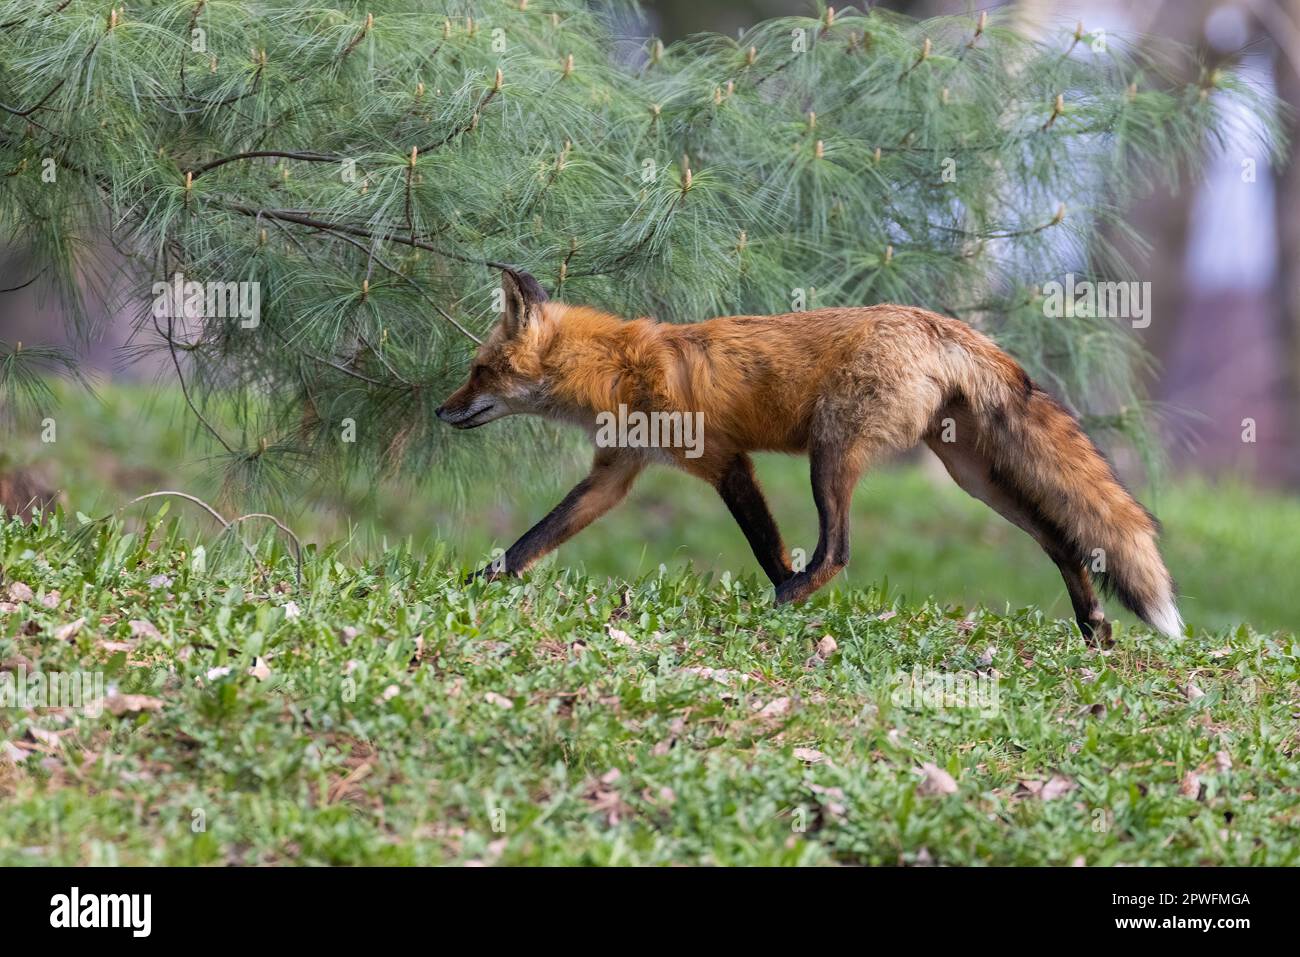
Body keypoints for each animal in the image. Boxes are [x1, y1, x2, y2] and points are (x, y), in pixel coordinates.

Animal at [436, 267, 1184, 641]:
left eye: (477, 371)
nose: (440, 411)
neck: (617, 368)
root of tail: (940, 323)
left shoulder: (724, 460)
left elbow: (769, 548)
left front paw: (775, 600)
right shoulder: (615, 475)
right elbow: (530, 542)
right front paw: (474, 584)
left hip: (832, 452)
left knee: (836, 554)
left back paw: (782, 602)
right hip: (976, 477)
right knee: (1062, 538)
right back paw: (1093, 627)